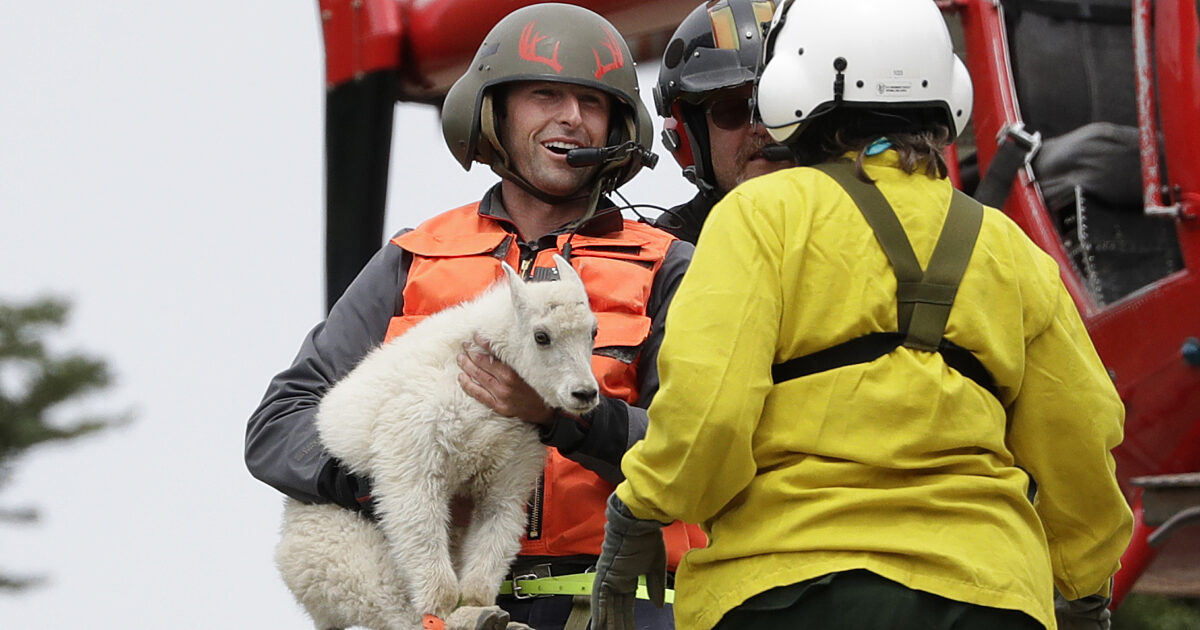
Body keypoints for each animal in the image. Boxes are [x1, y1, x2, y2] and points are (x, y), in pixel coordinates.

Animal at [277, 255, 599, 630]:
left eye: (593, 332)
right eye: (542, 336)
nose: (585, 394)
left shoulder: (508, 478)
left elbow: (490, 550)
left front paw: (479, 607)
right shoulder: (414, 458)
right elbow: (425, 543)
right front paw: (450, 611)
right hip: (339, 546)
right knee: (392, 601)